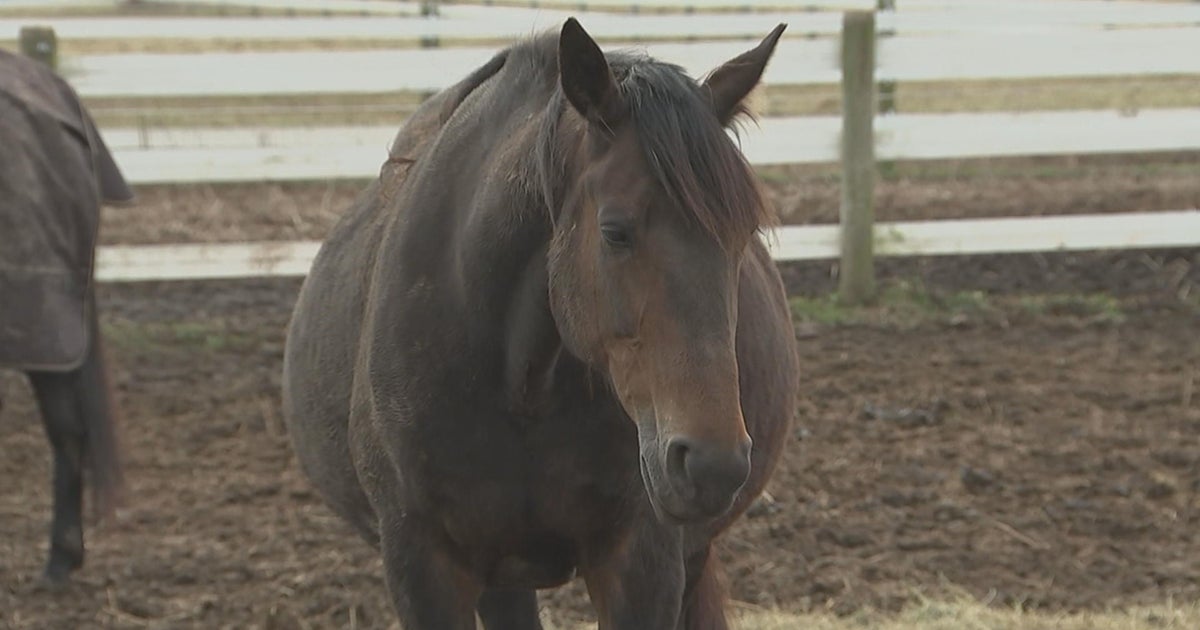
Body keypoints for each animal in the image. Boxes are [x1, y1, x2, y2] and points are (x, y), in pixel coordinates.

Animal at [282, 19, 799, 629]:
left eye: (744, 236)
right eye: (615, 231)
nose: (712, 464)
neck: (518, 385)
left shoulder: (641, 564)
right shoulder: (423, 566)